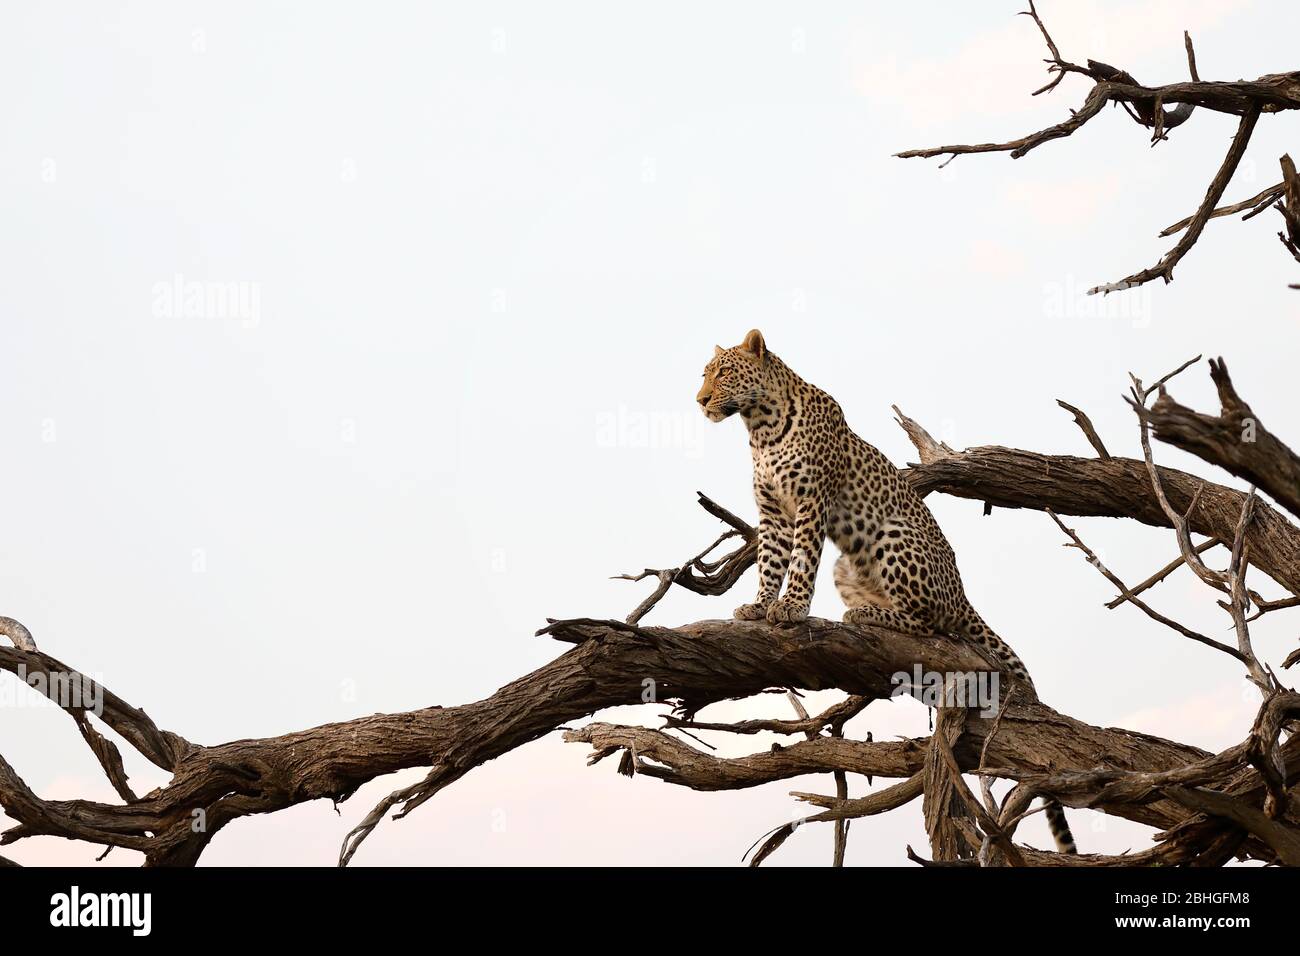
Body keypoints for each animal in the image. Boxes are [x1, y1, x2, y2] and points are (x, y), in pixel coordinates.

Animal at [696, 329, 1077, 854]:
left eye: (725, 374)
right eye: (705, 375)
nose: (700, 400)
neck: (761, 427)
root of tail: (962, 593)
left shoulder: (812, 503)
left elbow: (801, 562)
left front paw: (790, 608)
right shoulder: (772, 511)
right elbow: (770, 562)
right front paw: (759, 605)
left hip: (893, 535)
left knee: (927, 624)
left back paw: (867, 617)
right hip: (847, 564)